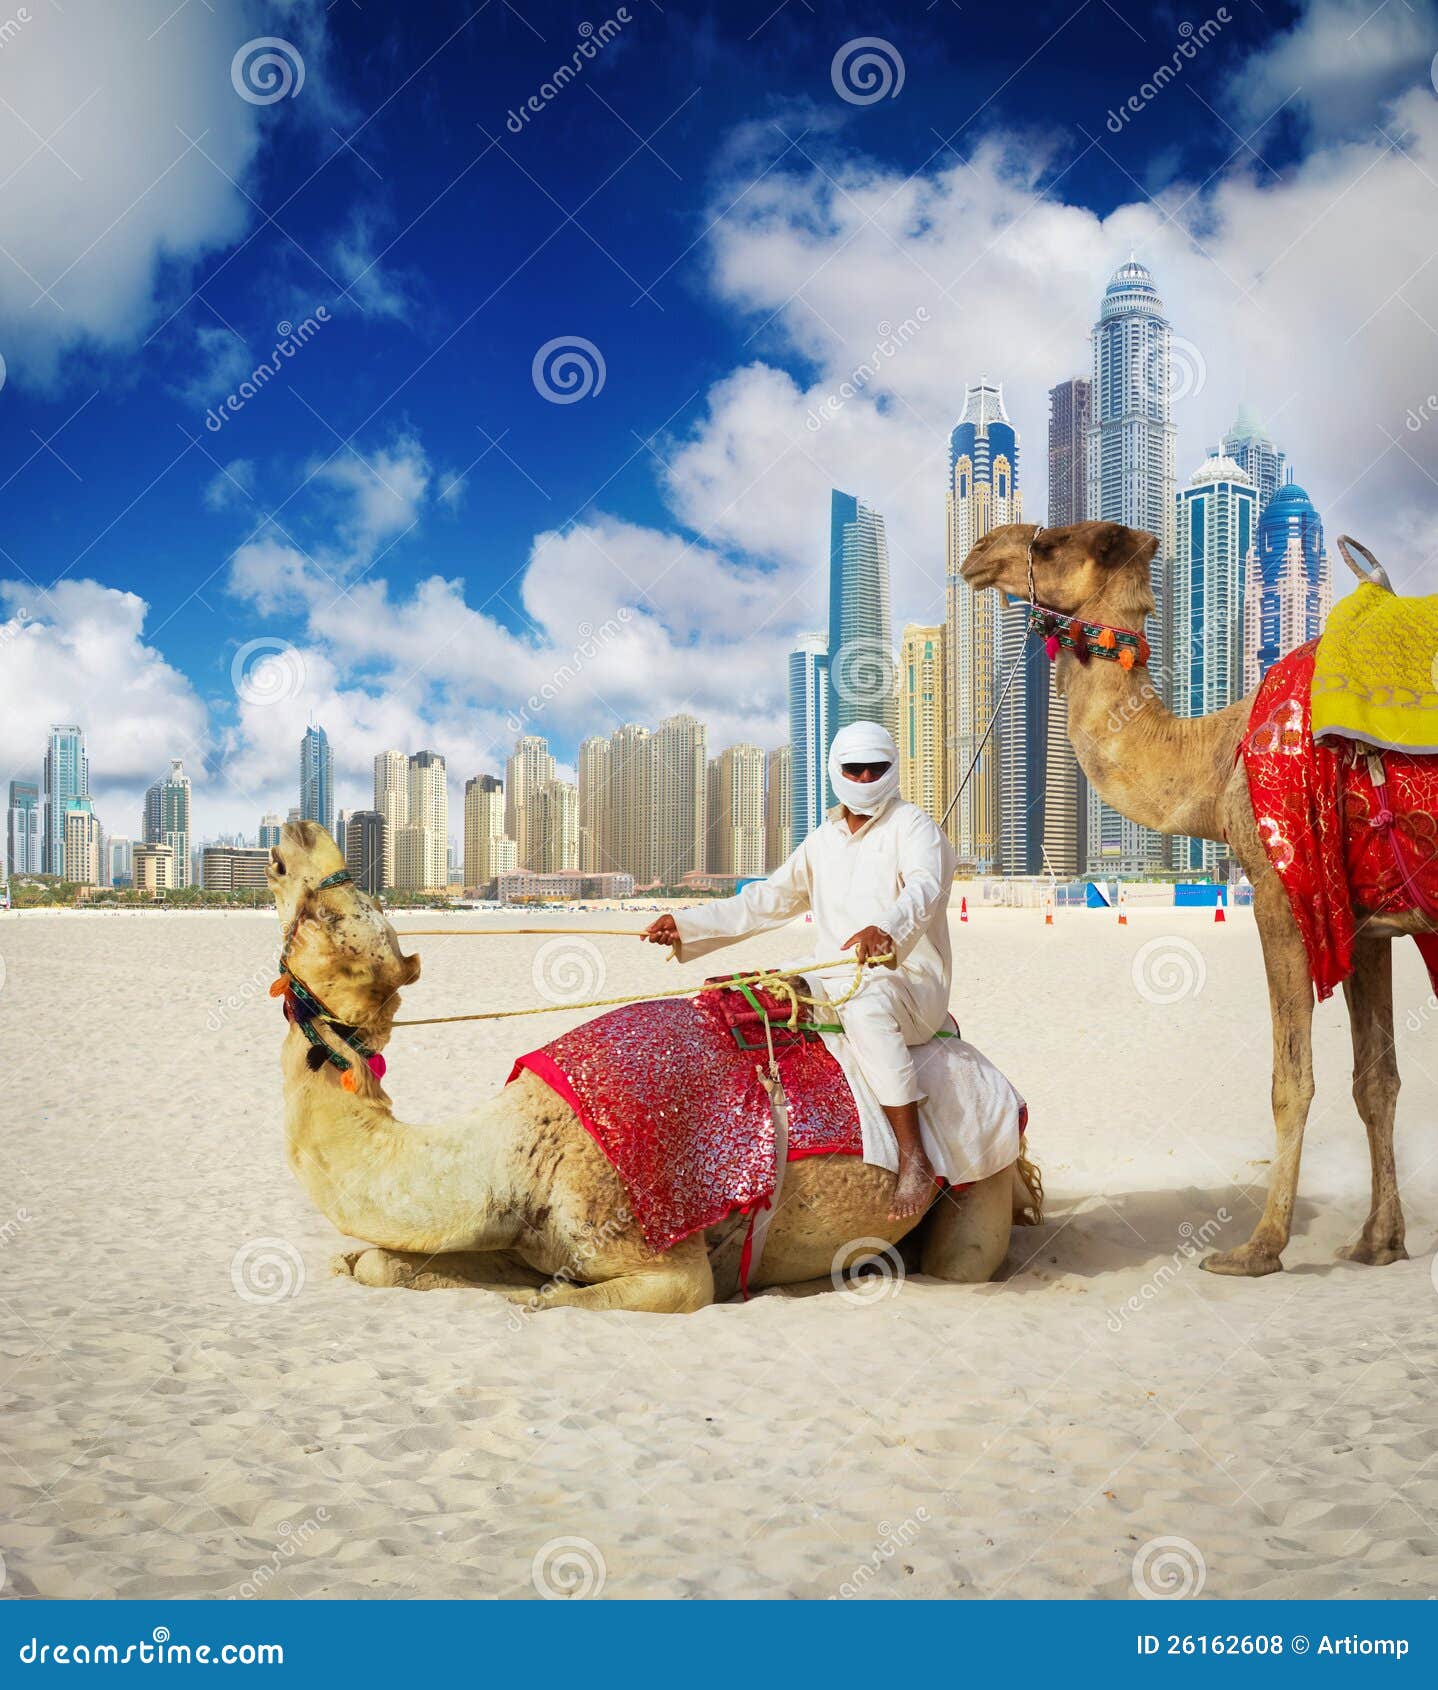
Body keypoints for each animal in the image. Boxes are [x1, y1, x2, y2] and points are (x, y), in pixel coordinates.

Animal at [266, 821, 1040, 1313]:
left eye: (341, 915)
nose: (295, 831)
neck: (516, 1155)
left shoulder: (661, 1262)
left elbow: (554, 1301)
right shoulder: (516, 1235)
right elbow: (383, 1263)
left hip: (982, 1170)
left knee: (962, 1261)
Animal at [962, 518, 1430, 1277]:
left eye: (1053, 542)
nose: (978, 551)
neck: (1219, 756)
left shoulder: (1283, 892)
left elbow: (1291, 1078)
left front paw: (1257, 1248)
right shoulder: (1363, 922)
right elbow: (1375, 1080)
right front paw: (1379, 1242)